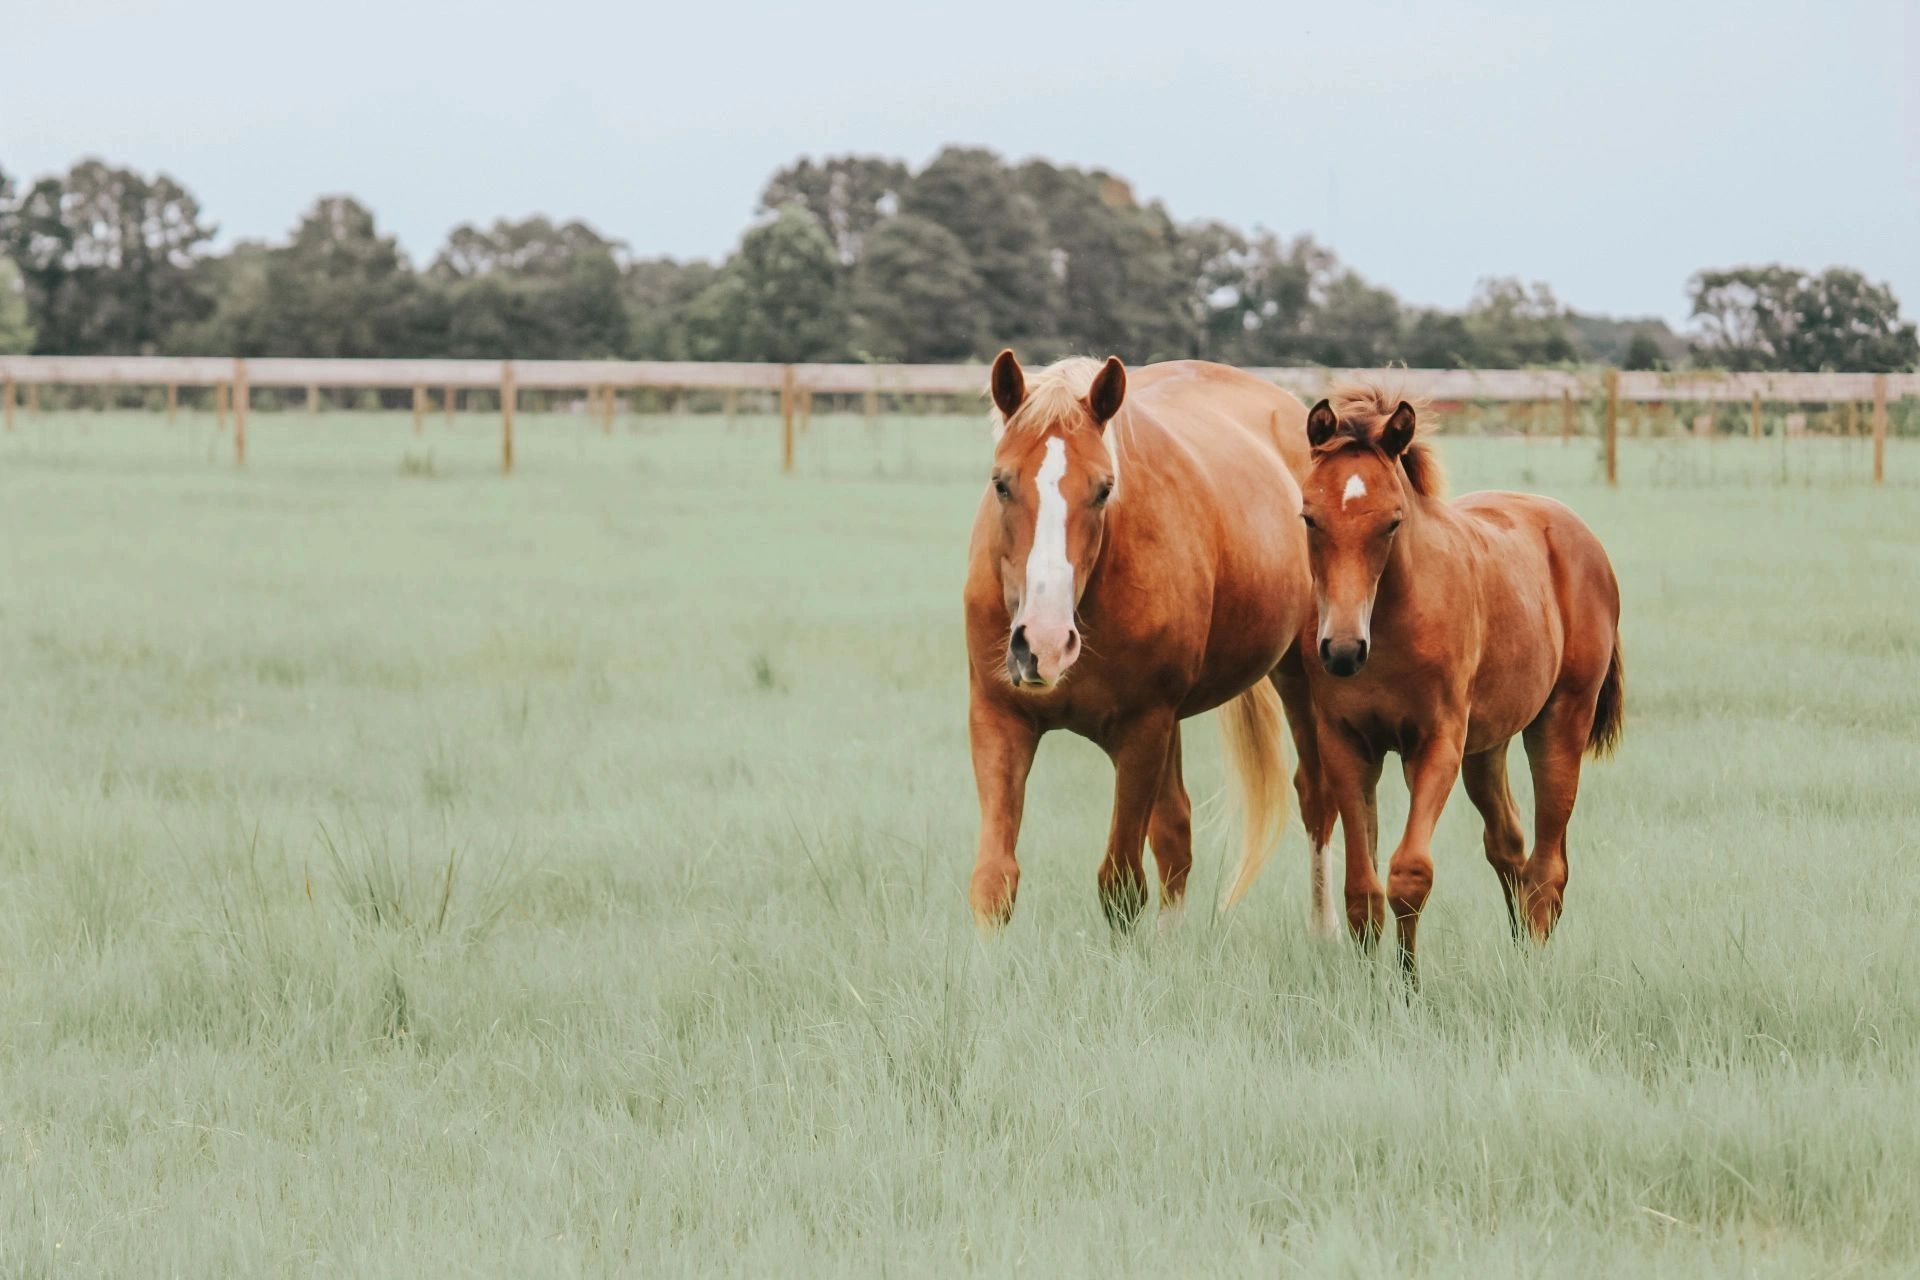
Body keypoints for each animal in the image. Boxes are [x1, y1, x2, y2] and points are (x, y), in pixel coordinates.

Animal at [963, 351, 1321, 930]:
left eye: (1104, 489)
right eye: (1001, 483)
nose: (1043, 644)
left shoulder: (1142, 730)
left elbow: (1120, 883)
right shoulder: (998, 719)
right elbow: (994, 880)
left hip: (1301, 676)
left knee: (1317, 799)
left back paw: (1326, 932)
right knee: (1177, 830)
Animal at [1226, 385, 1624, 980]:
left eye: (1392, 521)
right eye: (1309, 517)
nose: (1342, 650)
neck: (1392, 624)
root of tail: (1580, 537)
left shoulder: (1435, 743)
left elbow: (1409, 872)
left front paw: (1408, 983)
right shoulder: (1347, 741)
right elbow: (1362, 887)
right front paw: (1372, 981)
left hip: (1560, 721)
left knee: (1549, 865)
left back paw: (1531, 967)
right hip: (1489, 743)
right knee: (1508, 843)